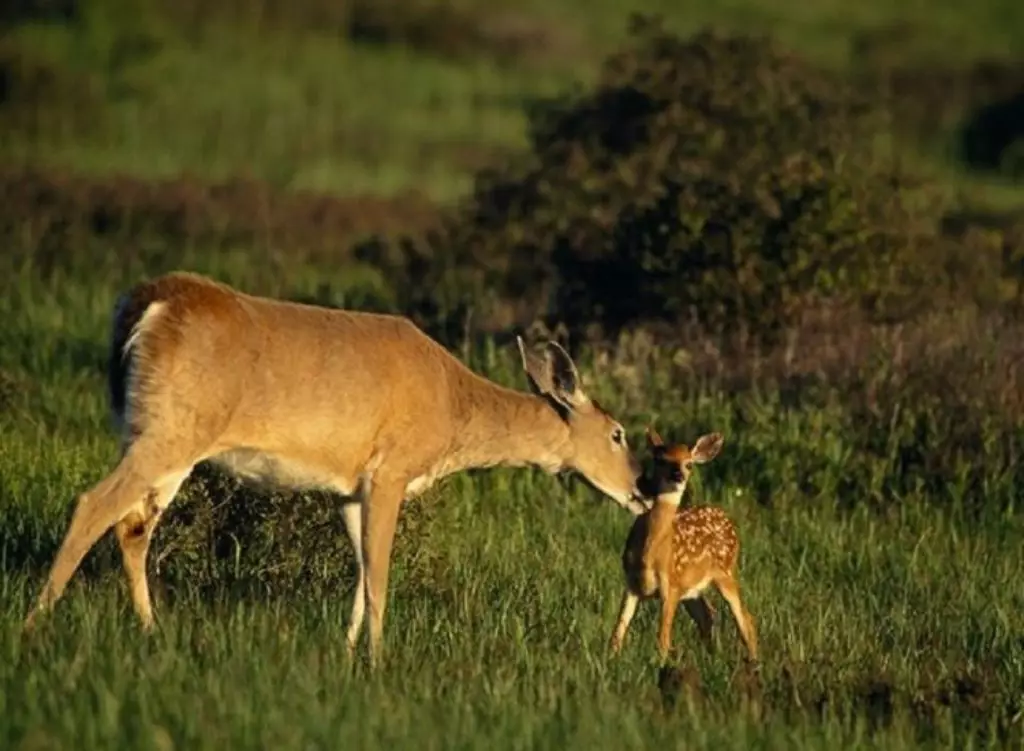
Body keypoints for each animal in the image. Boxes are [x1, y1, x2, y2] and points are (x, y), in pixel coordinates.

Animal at [24, 272, 643, 663]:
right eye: (618, 434)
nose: (640, 490)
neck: (453, 409)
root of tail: (146, 304)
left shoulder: (350, 488)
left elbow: (361, 573)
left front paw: (347, 655)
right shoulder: (391, 471)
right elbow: (382, 575)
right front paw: (379, 661)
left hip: (153, 432)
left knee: (133, 526)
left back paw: (152, 632)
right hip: (169, 429)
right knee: (93, 505)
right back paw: (34, 626)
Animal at [610, 428, 757, 663]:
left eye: (689, 464)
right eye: (660, 460)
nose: (677, 476)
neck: (650, 552)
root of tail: (727, 519)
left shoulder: (670, 586)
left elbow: (662, 638)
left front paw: (660, 665)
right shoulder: (632, 583)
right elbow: (618, 631)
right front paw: (611, 660)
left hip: (725, 572)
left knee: (745, 618)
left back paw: (753, 663)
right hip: (691, 589)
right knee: (709, 615)